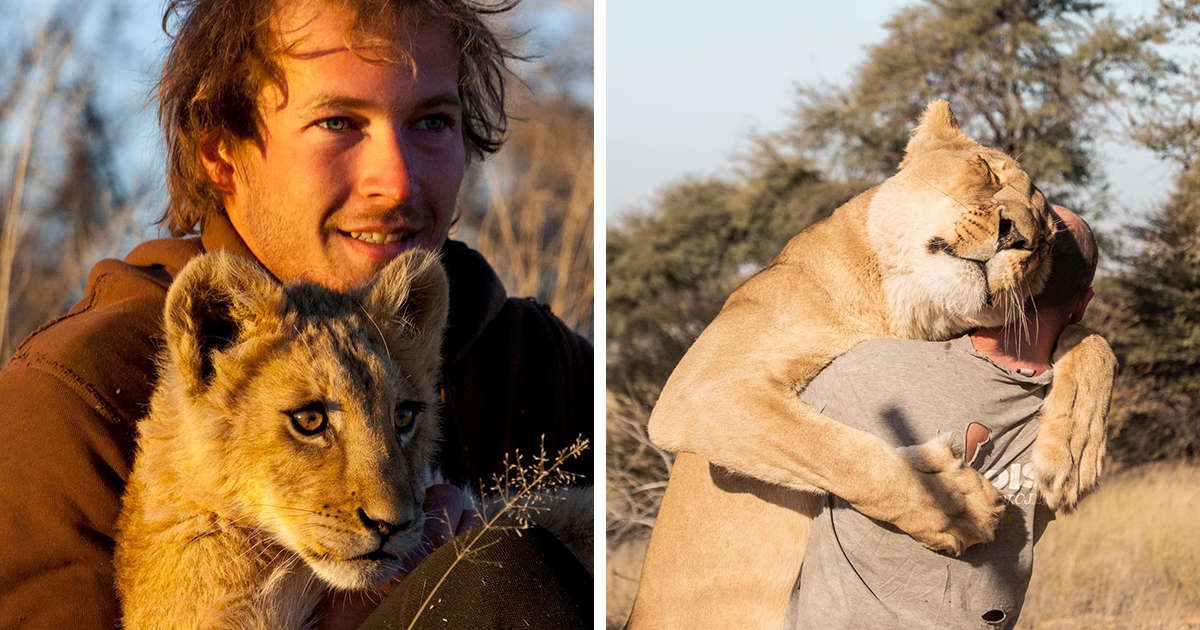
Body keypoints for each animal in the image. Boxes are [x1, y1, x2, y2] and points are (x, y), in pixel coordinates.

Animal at [628, 100, 1116, 628]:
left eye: (1044, 242)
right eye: (986, 170)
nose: (1019, 237)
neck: (902, 311)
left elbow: (1093, 338)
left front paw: (1073, 454)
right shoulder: (700, 386)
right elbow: (830, 448)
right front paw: (955, 504)